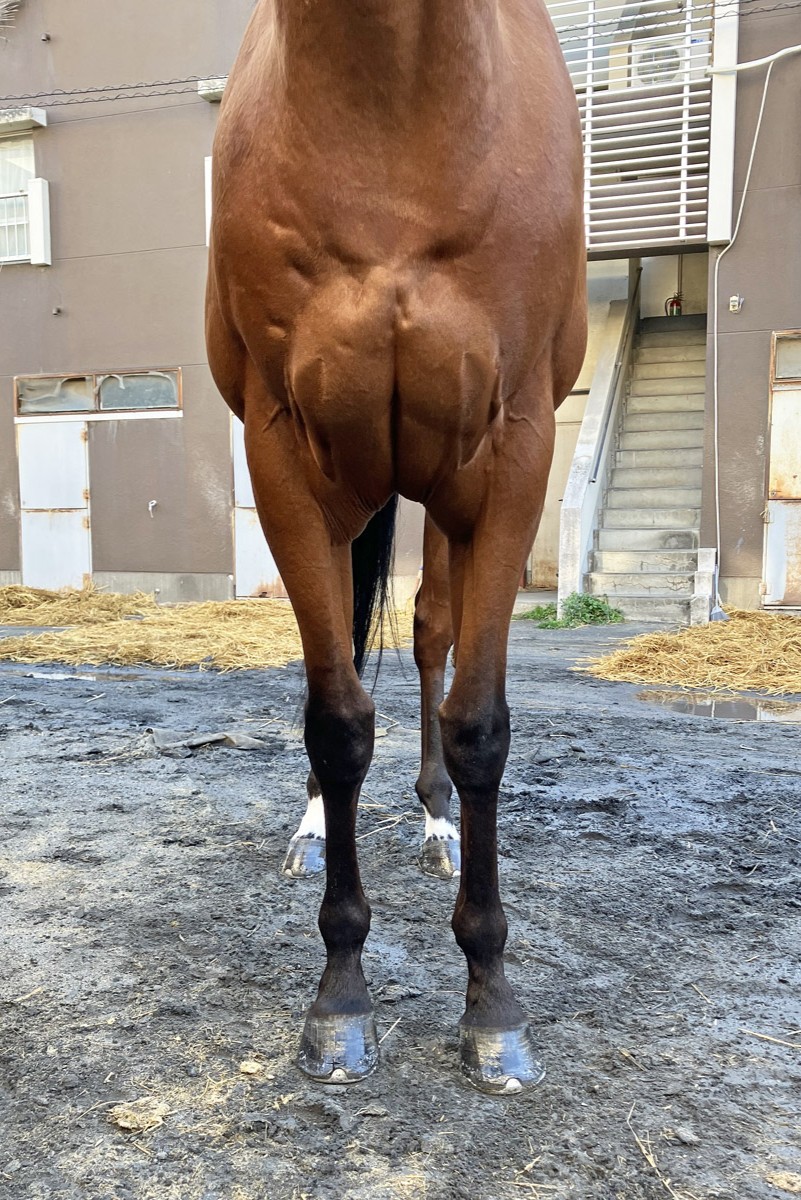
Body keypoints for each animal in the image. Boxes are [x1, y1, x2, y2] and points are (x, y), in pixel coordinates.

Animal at [206, 0, 586, 1093]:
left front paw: (492, 1003)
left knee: (429, 636)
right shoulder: (283, 451)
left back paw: (437, 823)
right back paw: (310, 826)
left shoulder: (513, 451)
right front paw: (339, 996)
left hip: (444, 497)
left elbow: (479, 723)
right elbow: (335, 722)